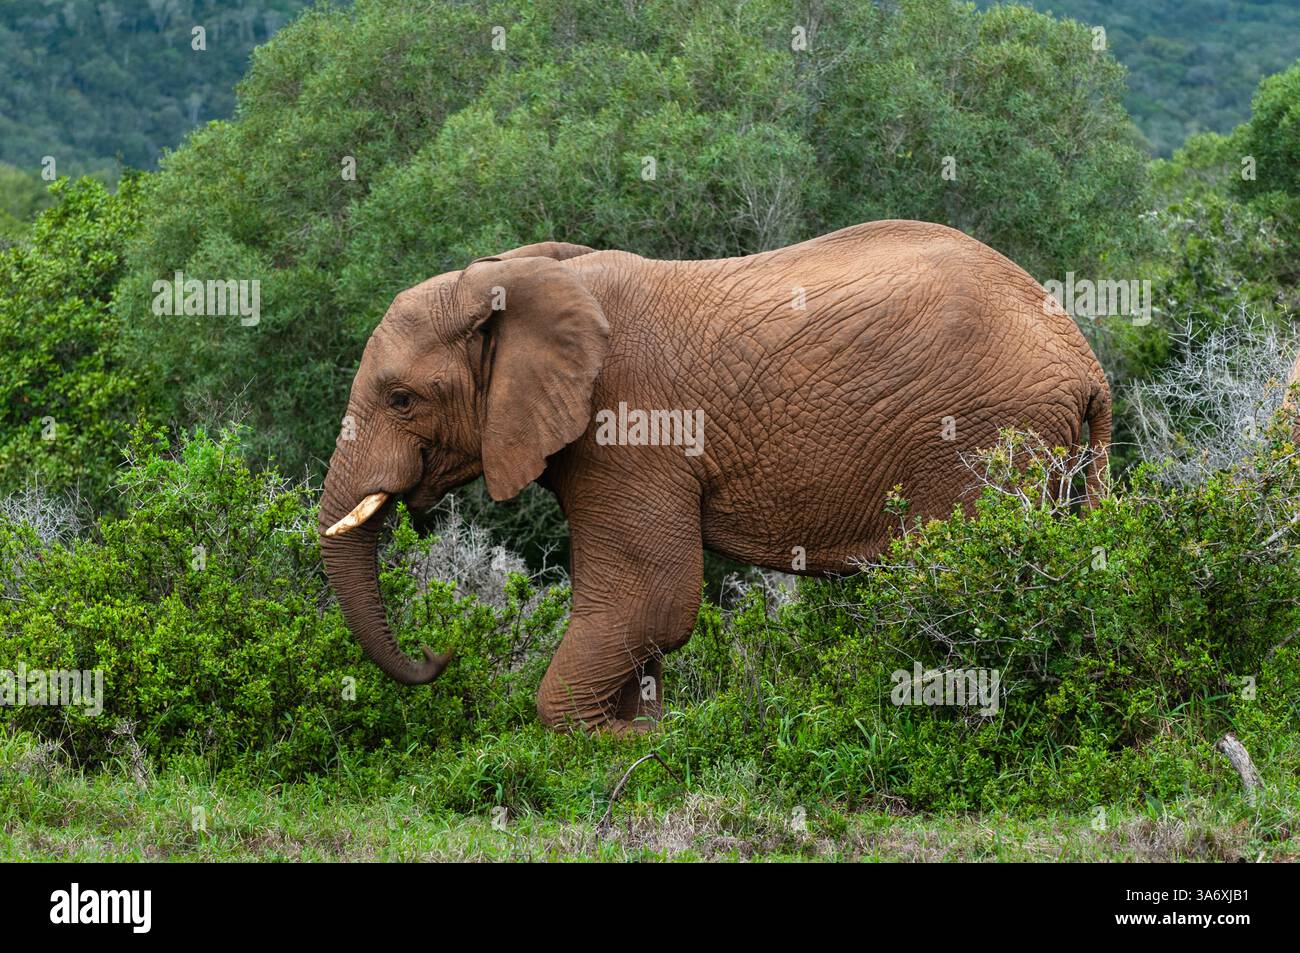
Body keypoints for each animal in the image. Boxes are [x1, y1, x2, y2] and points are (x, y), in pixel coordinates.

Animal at [319, 221, 1111, 733]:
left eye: (401, 398)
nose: (440, 650)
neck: (519, 278)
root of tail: (1086, 363)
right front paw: (644, 729)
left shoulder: (631, 428)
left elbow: (653, 598)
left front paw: (614, 741)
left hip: (986, 437)